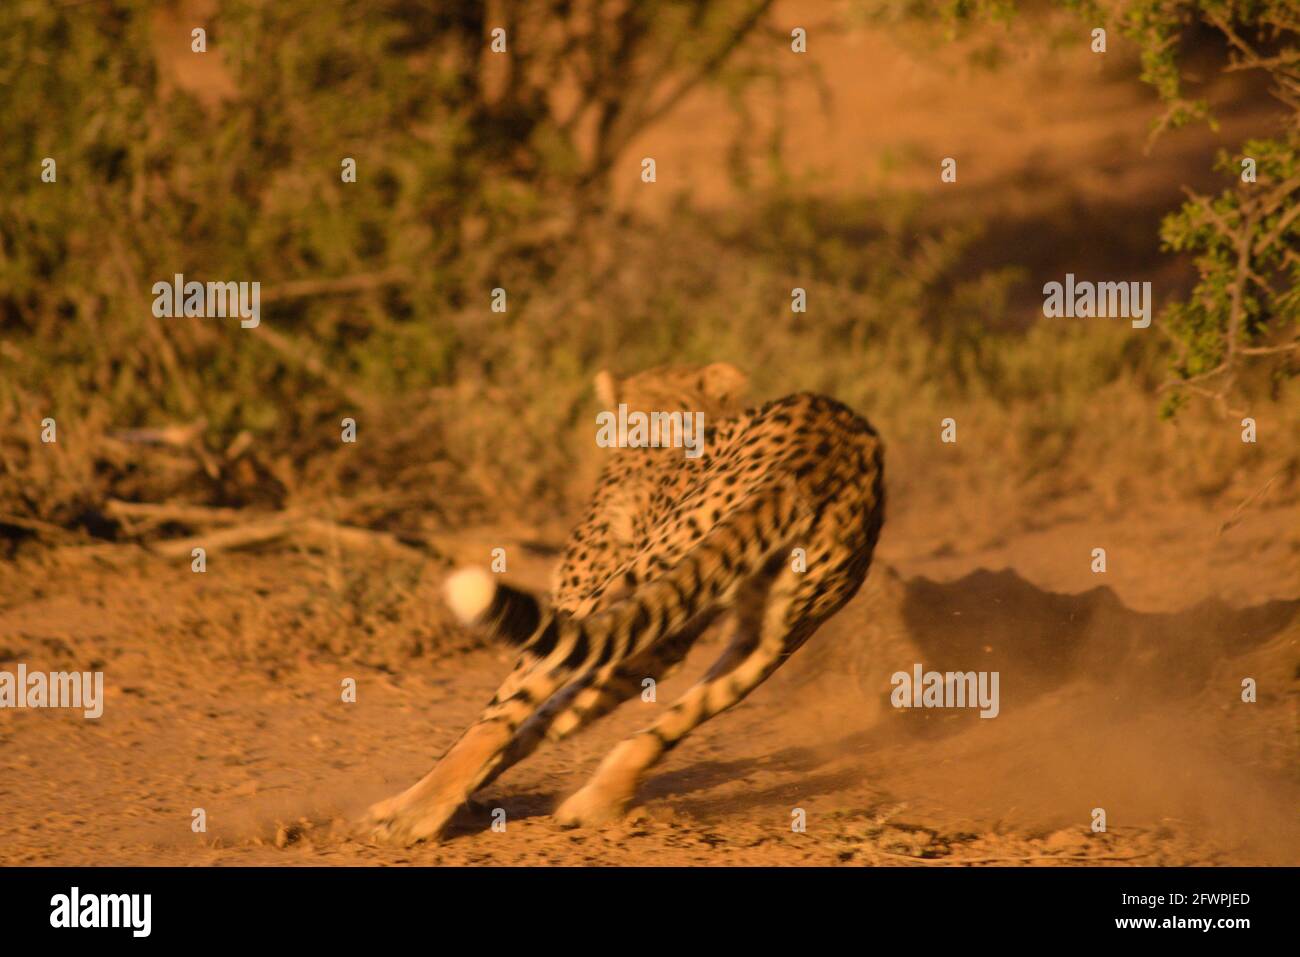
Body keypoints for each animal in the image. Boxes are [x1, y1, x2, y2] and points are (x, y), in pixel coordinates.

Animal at [363, 362, 885, 844]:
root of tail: (832, 445)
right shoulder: (661, 634)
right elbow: (558, 712)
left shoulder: (588, 599)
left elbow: (513, 706)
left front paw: (434, 800)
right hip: (771, 631)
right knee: (685, 713)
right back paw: (599, 800)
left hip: (641, 571)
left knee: (504, 710)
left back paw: (415, 811)